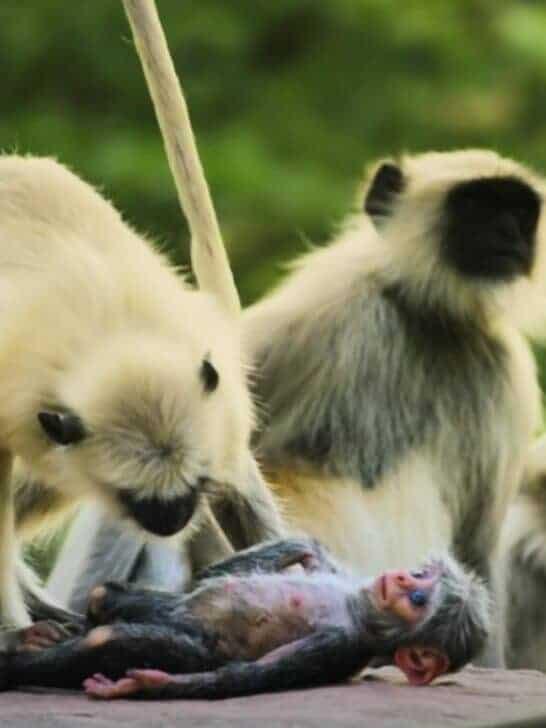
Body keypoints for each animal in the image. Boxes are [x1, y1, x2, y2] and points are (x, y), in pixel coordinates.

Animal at [0, 539, 490, 698]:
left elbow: (250, 675)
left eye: (420, 598)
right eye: (420, 577)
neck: (355, 606)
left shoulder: (338, 645)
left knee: (108, 641)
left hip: (190, 644)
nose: (400, 579)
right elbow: (299, 549)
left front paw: (144, 685)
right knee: (107, 597)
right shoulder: (332, 570)